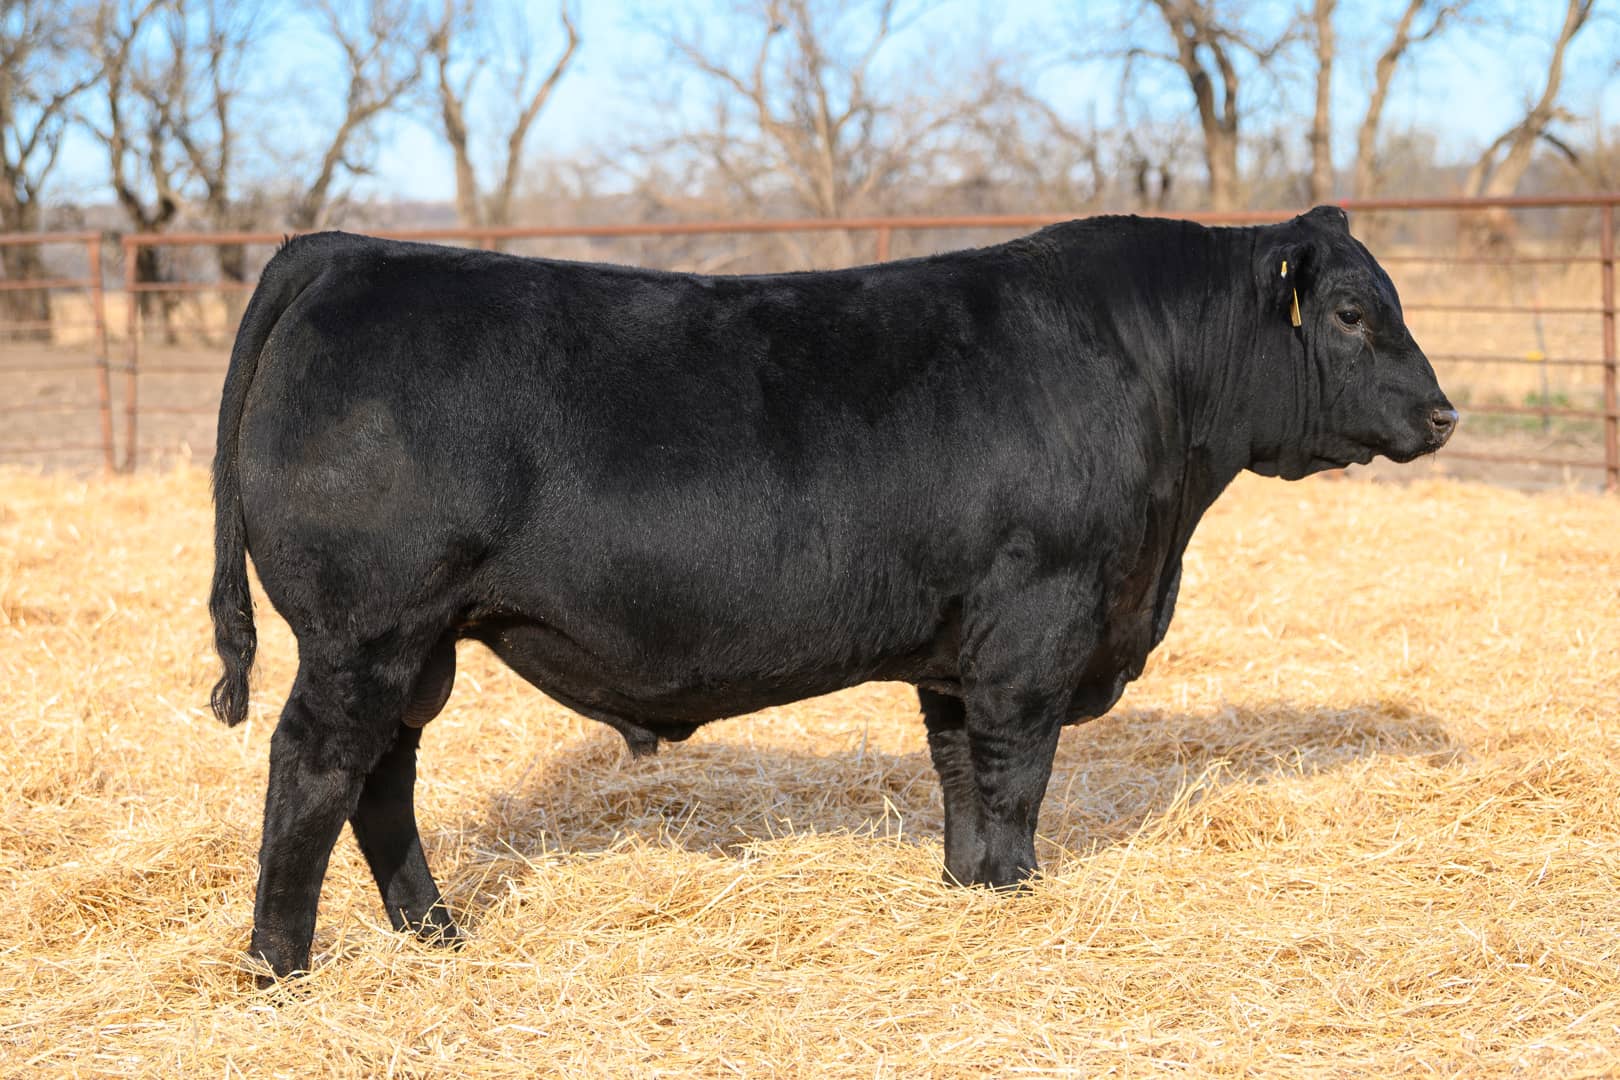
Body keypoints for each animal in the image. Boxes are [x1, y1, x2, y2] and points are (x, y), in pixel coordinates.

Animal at [209, 207, 1456, 982]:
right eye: (1351, 314)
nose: (1444, 414)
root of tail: (345, 249)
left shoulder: (959, 652)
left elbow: (961, 782)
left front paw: (973, 899)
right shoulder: (1035, 632)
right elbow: (1016, 783)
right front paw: (1018, 899)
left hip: (418, 647)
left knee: (382, 781)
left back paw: (436, 938)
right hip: (363, 632)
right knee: (312, 770)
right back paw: (281, 967)